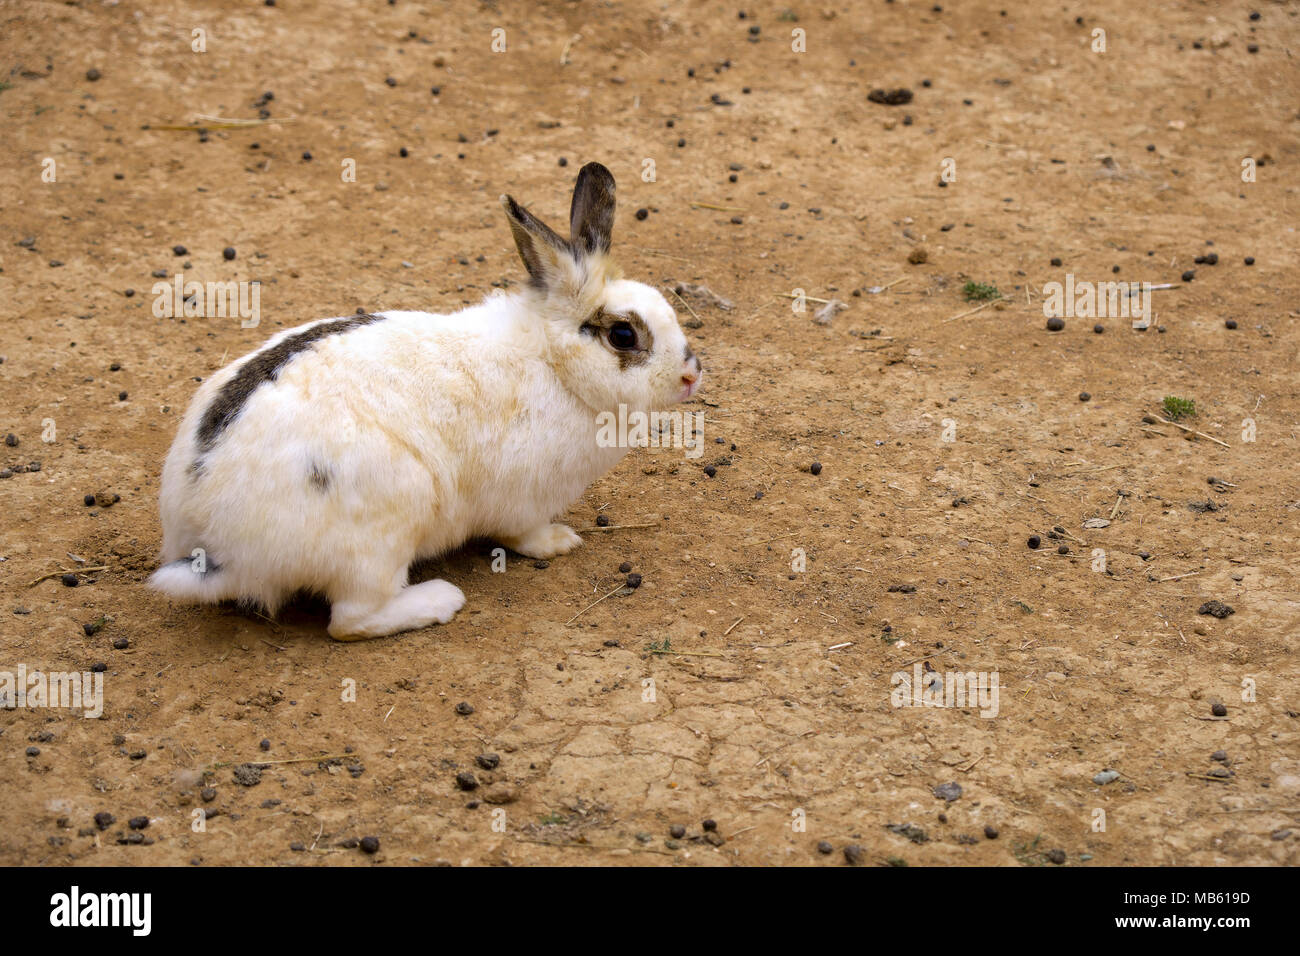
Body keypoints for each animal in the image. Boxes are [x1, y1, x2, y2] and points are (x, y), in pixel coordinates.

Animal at [149, 162, 703, 639]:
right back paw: (440, 600)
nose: (691, 375)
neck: (553, 361)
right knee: (350, 621)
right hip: (384, 530)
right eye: (624, 335)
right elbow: (524, 534)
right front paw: (561, 542)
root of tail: (209, 541)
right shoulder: (522, 501)